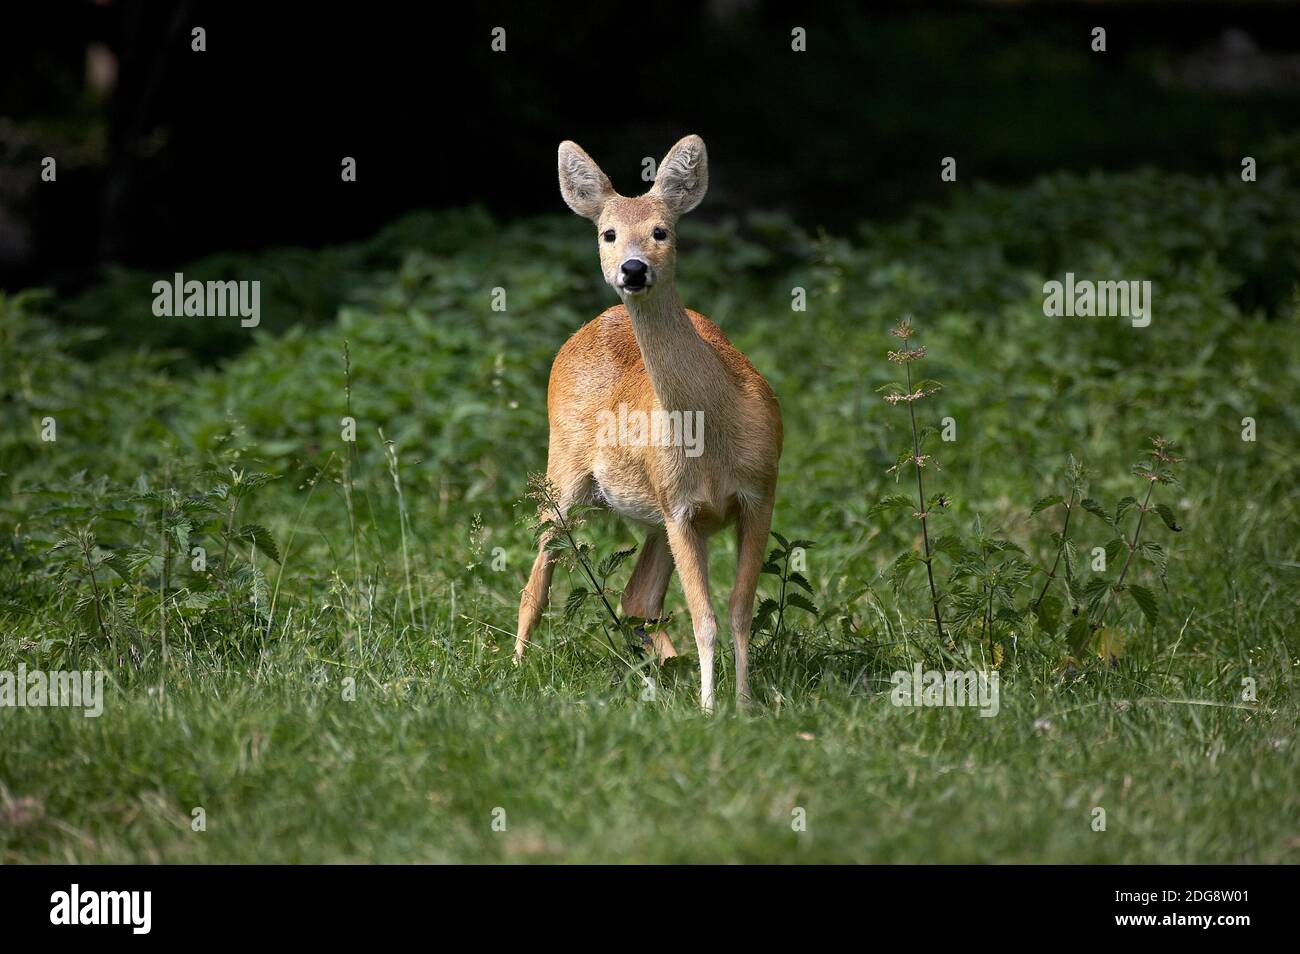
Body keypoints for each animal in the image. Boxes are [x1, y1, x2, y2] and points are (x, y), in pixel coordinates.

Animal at [514, 135, 783, 712]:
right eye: (608, 233)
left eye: (662, 230)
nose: (633, 269)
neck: (711, 431)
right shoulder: (680, 506)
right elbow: (706, 618)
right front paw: (711, 707)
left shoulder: (757, 492)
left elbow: (738, 610)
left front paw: (744, 702)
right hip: (563, 472)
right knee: (536, 582)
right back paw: (517, 668)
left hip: (657, 512)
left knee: (637, 599)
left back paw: (660, 674)